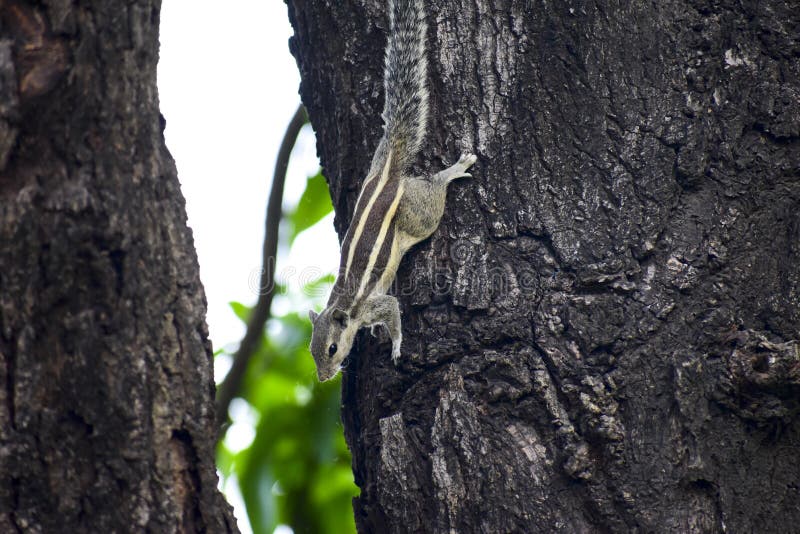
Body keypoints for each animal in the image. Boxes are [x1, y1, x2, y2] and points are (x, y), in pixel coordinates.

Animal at [308, 0, 477, 381]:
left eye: (331, 348)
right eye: (312, 352)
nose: (324, 376)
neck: (345, 305)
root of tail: (387, 174)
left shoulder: (377, 303)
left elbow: (395, 311)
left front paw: (397, 345)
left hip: (420, 213)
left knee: (433, 193)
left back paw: (452, 172)